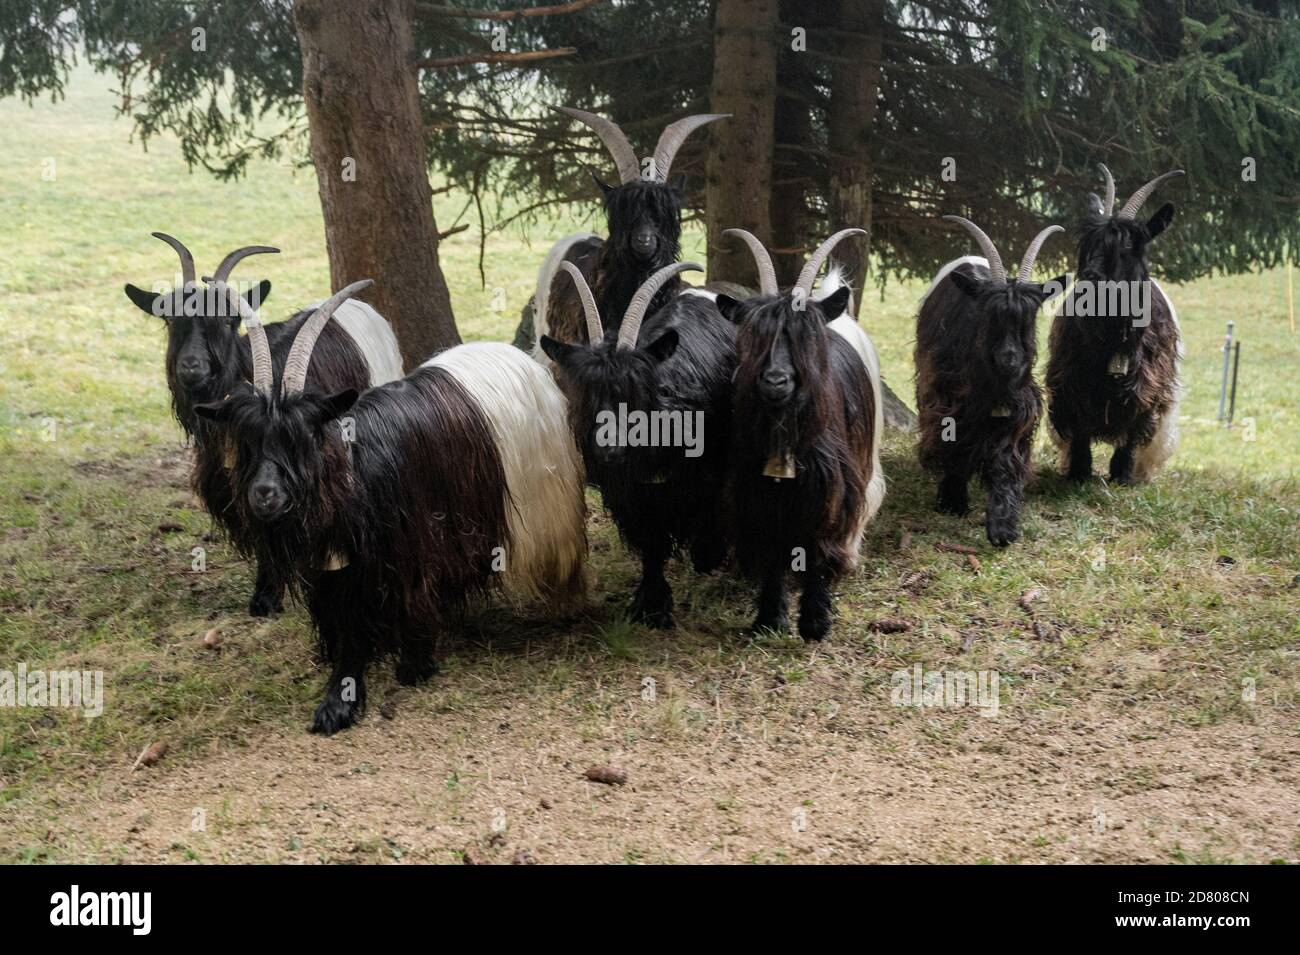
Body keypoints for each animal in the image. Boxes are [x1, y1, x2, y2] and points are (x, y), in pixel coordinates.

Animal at [193, 281, 587, 734]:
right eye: (248, 440)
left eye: (303, 438)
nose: (265, 494)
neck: (355, 470)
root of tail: (517, 355)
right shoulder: (338, 566)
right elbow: (345, 622)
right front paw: (340, 696)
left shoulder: (411, 548)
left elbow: (399, 602)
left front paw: (412, 666)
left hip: (548, 498)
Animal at [539, 261, 735, 628]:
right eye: (586, 392)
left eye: (634, 389)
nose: (609, 448)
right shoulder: (632, 496)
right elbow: (651, 542)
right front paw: (651, 605)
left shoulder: (707, 476)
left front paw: (708, 558)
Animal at [715, 229, 885, 641]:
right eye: (753, 334)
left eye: (805, 336)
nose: (775, 381)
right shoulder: (757, 493)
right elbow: (771, 548)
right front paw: (768, 618)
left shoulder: (829, 489)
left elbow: (818, 546)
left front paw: (814, 622)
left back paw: (848, 559)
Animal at [915, 217, 1066, 546]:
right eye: (990, 313)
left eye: (1030, 316)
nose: (1010, 359)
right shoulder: (951, 400)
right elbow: (955, 445)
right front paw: (952, 501)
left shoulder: (1017, 410)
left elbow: (1005, 462)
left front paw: (1003, 527)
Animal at [1046, 166, 1185, 484]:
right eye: (1089, 243)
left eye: (1128, 244)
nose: (1090, 276)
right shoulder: (1070, 378)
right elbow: (1080, 426)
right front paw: (1079, 472)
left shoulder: (1149, 383)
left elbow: (1134, 425)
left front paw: (1122, 475)